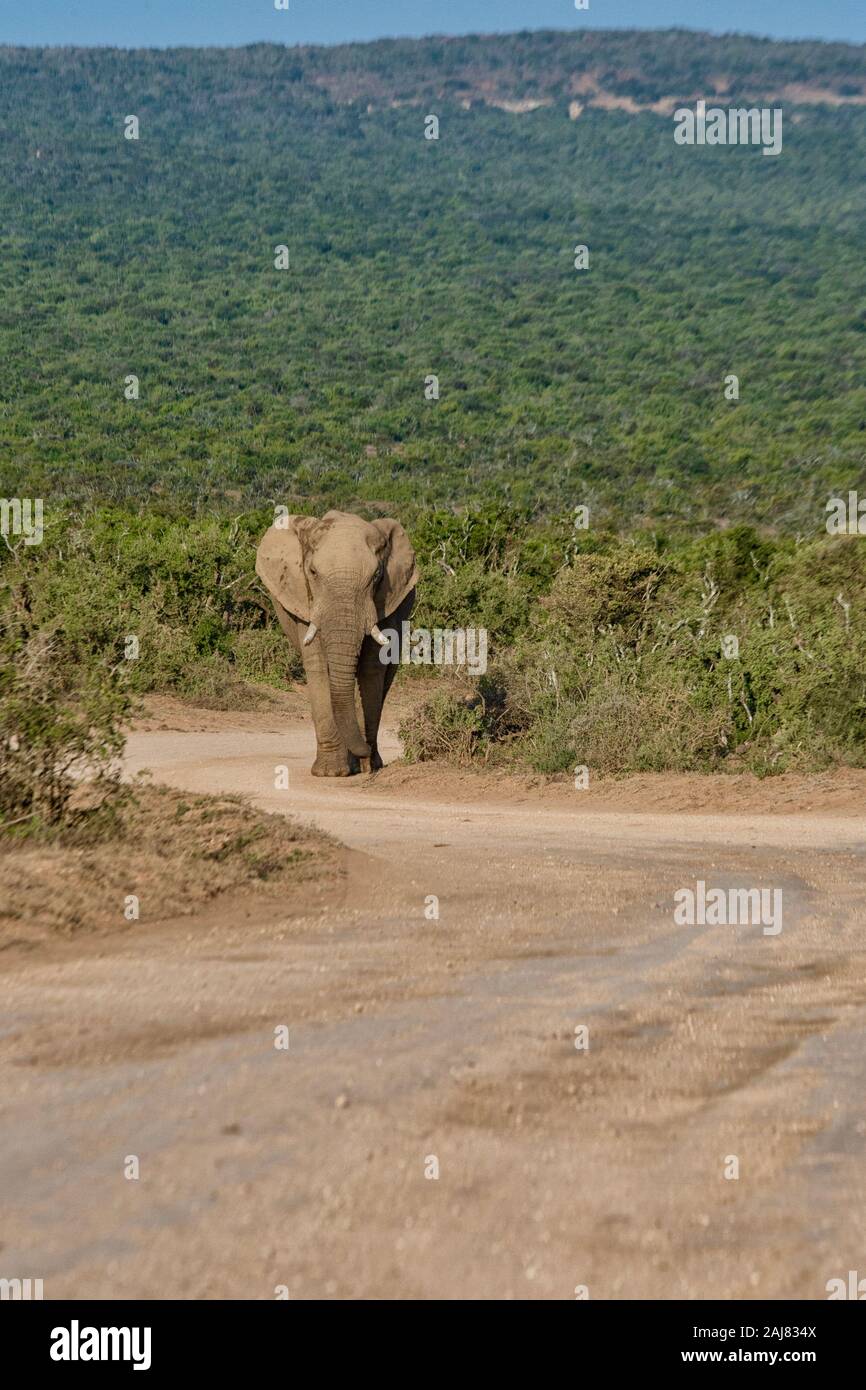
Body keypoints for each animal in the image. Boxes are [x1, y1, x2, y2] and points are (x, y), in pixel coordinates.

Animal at [255, 510, 417, 776]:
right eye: (312, 572)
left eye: (376, 576)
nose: (365, 753)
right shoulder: (307, 601)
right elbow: (319, 667)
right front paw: (331, 773)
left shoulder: (384, 602)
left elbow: (371, 670)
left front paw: (368, 766)